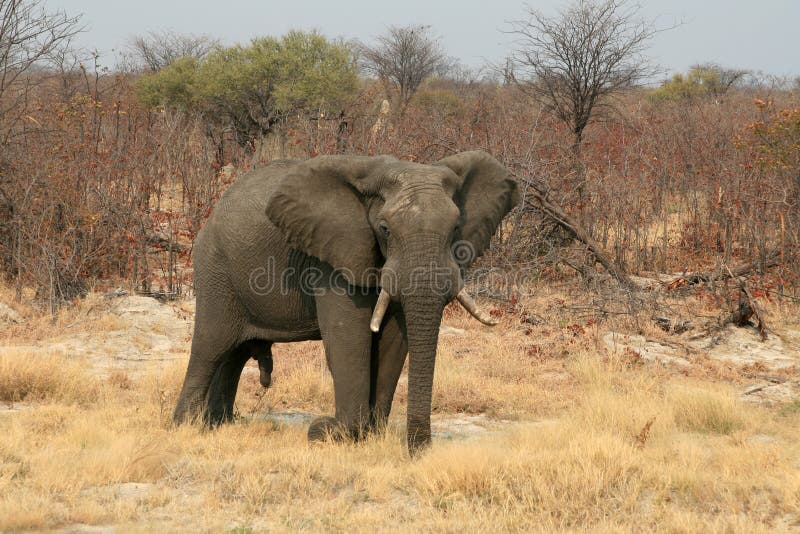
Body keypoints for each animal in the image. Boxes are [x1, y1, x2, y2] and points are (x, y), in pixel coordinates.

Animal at [173, 150, 519, 455]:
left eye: (455, 229)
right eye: (385, 229)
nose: (419, 453)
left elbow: (394, 340)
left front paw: (370, 435)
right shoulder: (333, 257)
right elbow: (348, 338)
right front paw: (331, 432)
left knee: (234, 354)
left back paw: (218, 425)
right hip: (215, 269)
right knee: (211, 346)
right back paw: (186, 426)